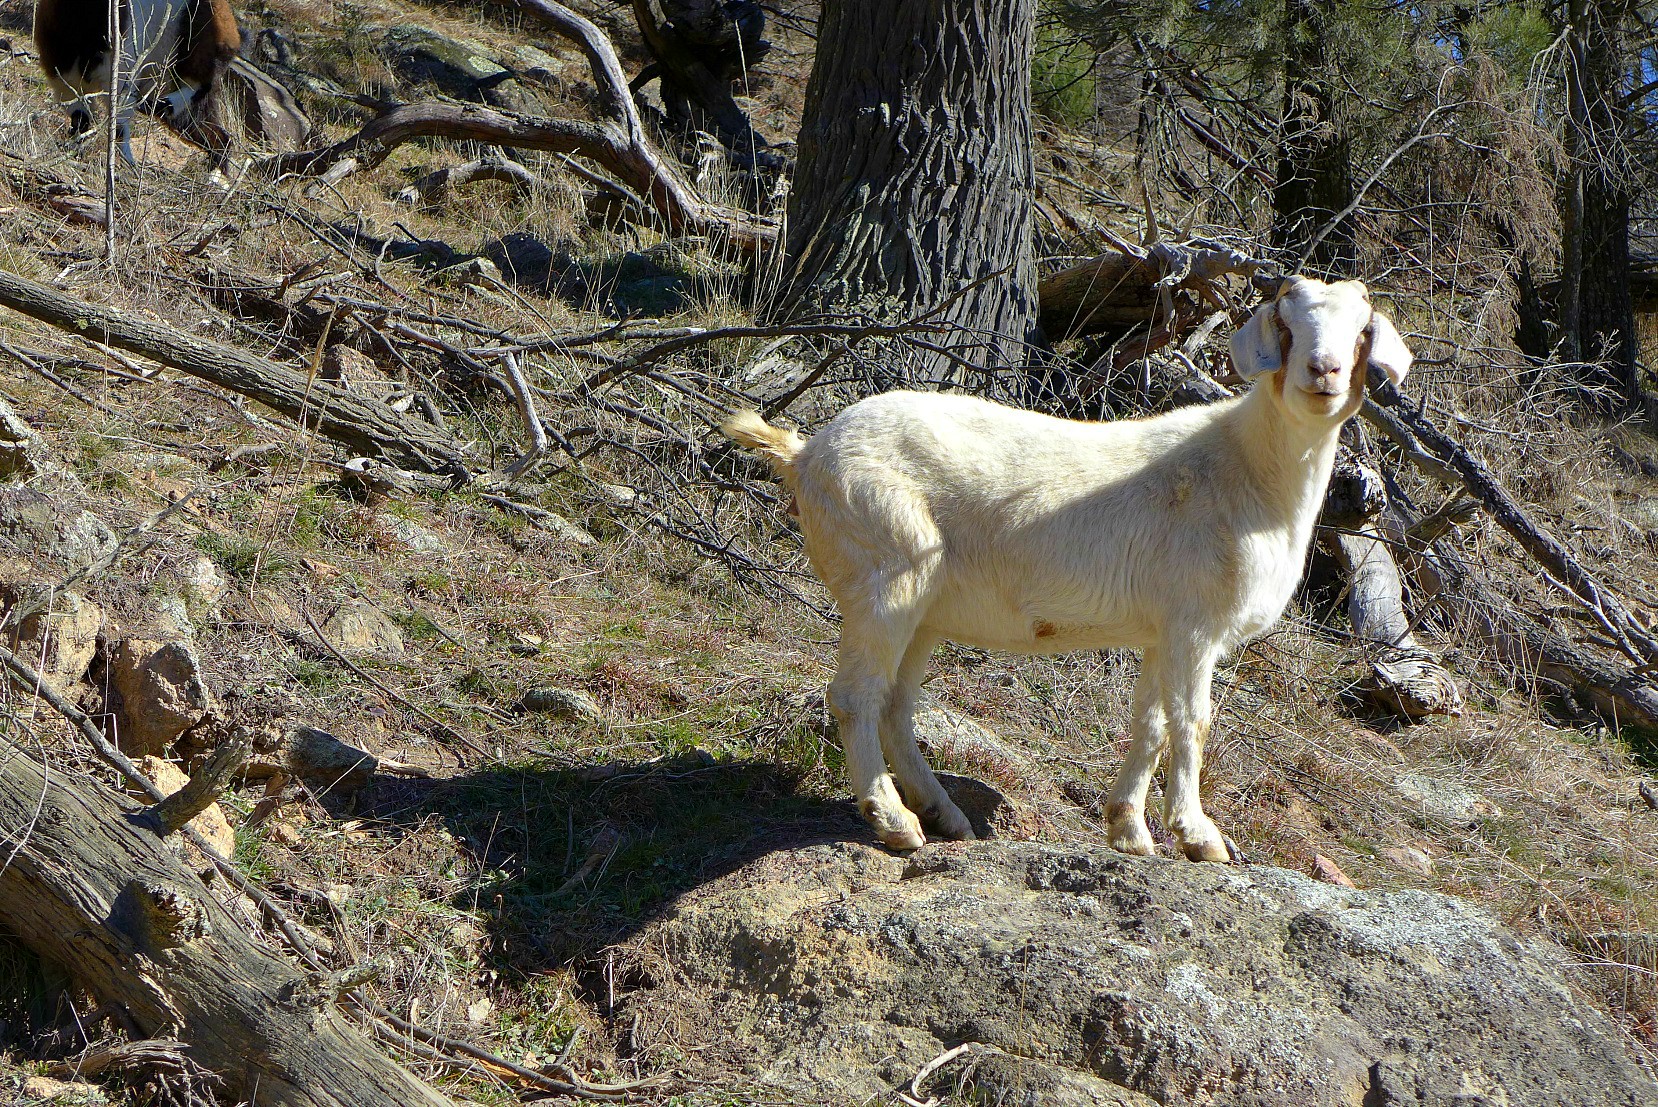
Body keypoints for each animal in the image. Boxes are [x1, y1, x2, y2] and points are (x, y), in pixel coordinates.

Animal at [34, 0, 241, 167]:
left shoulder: (121, 71)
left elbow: (119, 121)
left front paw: (125, 162)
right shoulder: (65, 77)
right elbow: (80, 117)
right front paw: (74, 151)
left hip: (195, 55)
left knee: (199, 87)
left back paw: (159, 105)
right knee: (216, 135)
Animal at [724, 276, 1412, 861]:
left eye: (1361, 331)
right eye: (1286, 324)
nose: (1322, 372)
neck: (1247, 469)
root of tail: (804, 454)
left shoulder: (1163, 630)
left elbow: (1151, 723)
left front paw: (1130, 831)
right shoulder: (1195, 623)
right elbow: (1192, 722)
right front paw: (1199, 837)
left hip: (922, 610)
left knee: (894, 704)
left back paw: (944, 815)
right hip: (885, 573)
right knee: (855, 697)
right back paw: (894, 823)